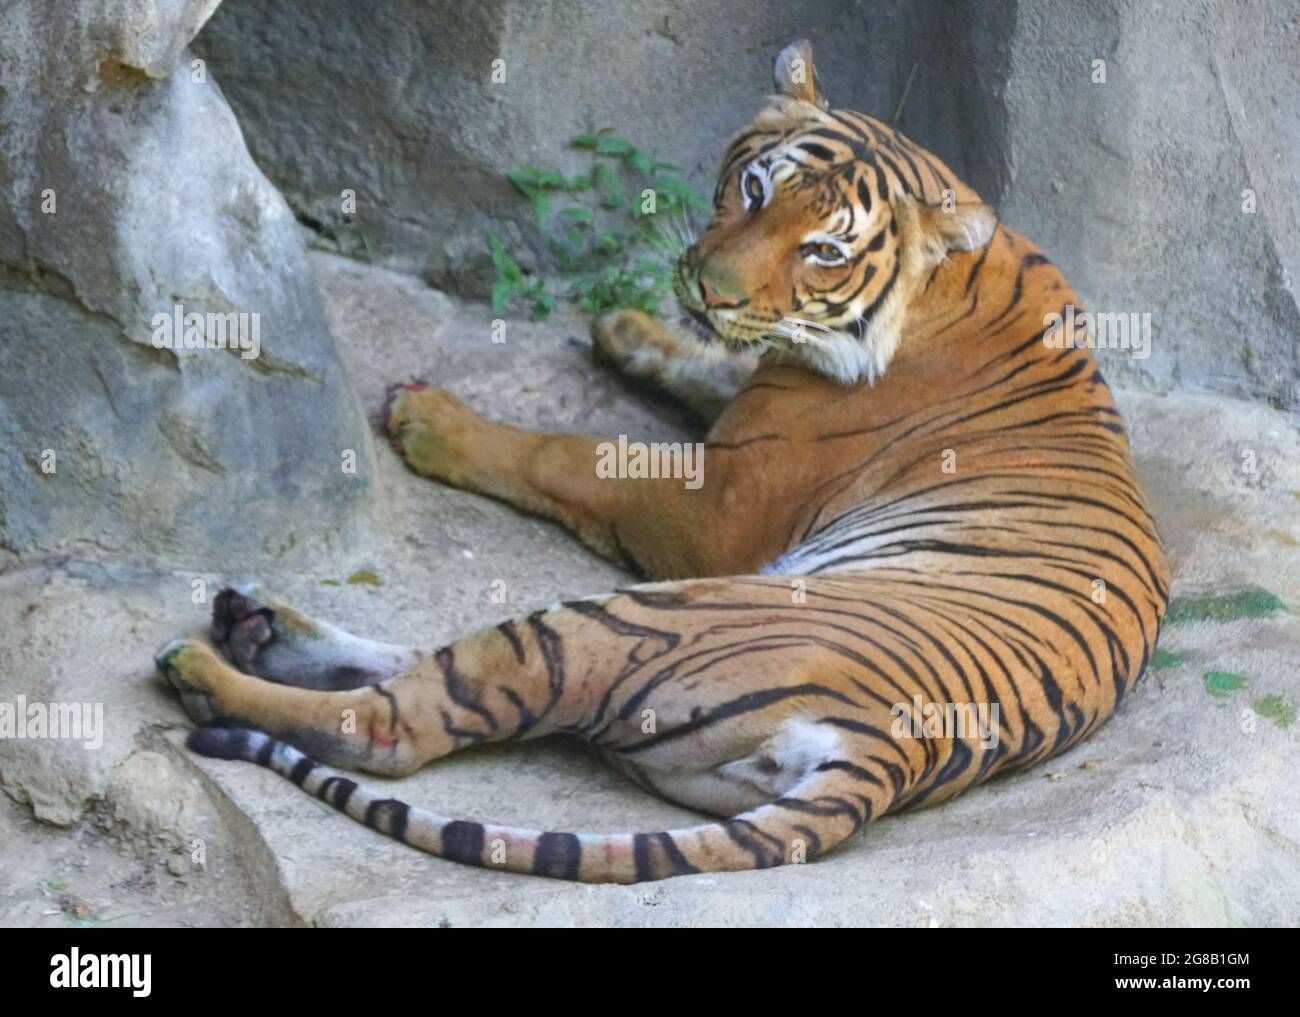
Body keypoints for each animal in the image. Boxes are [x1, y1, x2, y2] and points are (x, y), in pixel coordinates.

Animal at [155, 39, 1170, 884]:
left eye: (823, 250)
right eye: (754, 189)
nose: (710, 288)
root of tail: (888, 753)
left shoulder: (714, 511)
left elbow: (575, 454)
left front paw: (431, 421)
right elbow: (702, 367)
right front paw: (628, 328)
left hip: (648, 614)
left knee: (400, 720)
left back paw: (204, 667)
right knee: (424, 663)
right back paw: (254, 624)